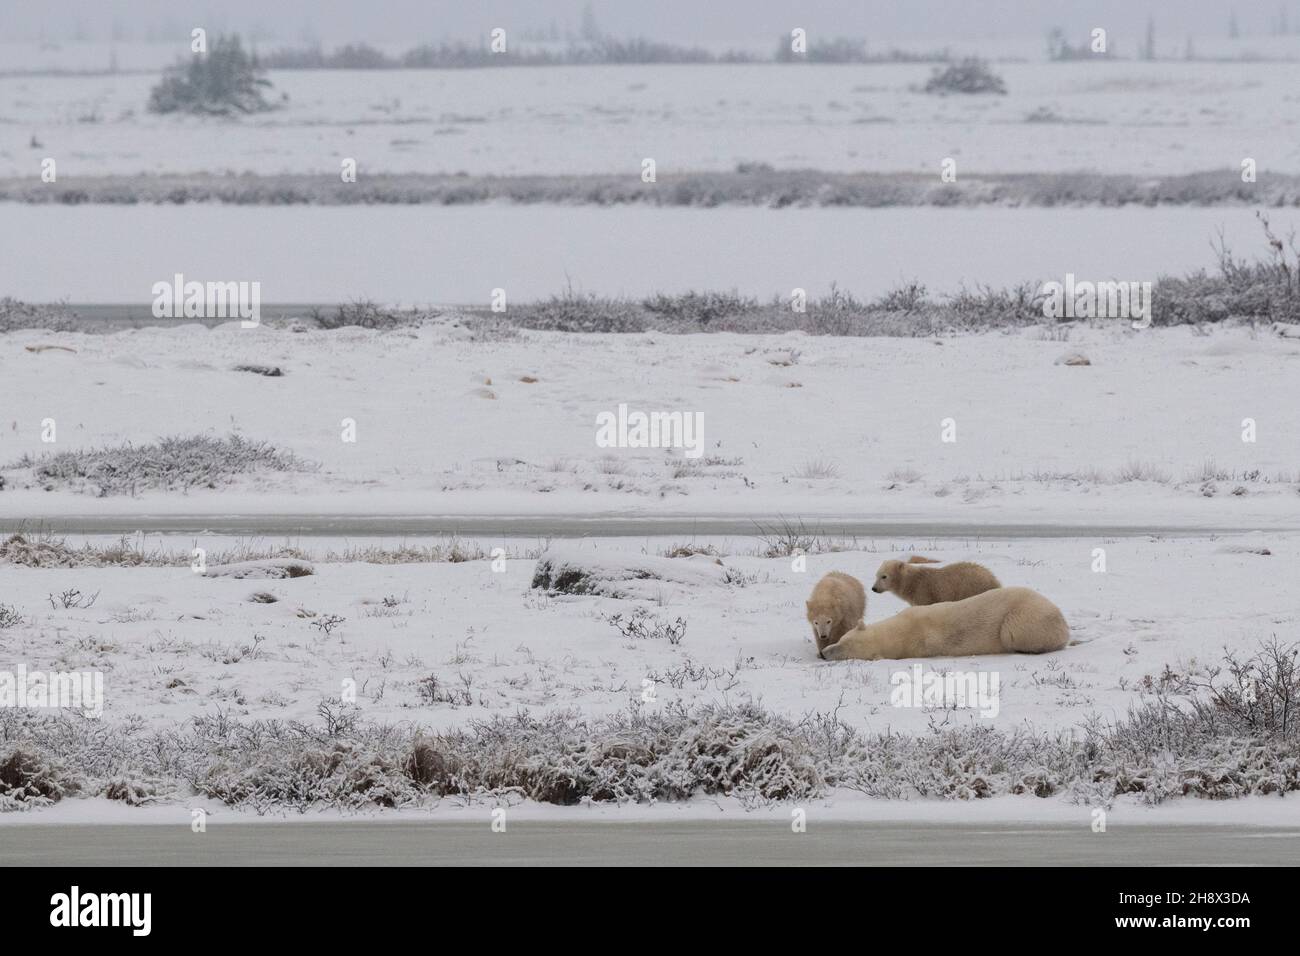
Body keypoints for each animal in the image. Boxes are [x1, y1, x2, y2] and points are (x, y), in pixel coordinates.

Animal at [821, 586, 1068, 661]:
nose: (823, 653)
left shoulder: (922, 645)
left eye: (844, 649)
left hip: (1024, 616)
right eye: (841, 639)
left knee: (1013, 632)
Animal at [871, 558, 1000, 606]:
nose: (874, 588)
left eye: (884, 576)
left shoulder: (923, 593)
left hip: (971, 588)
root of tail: (993, 579)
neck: (911, 582)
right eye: (876, 575)